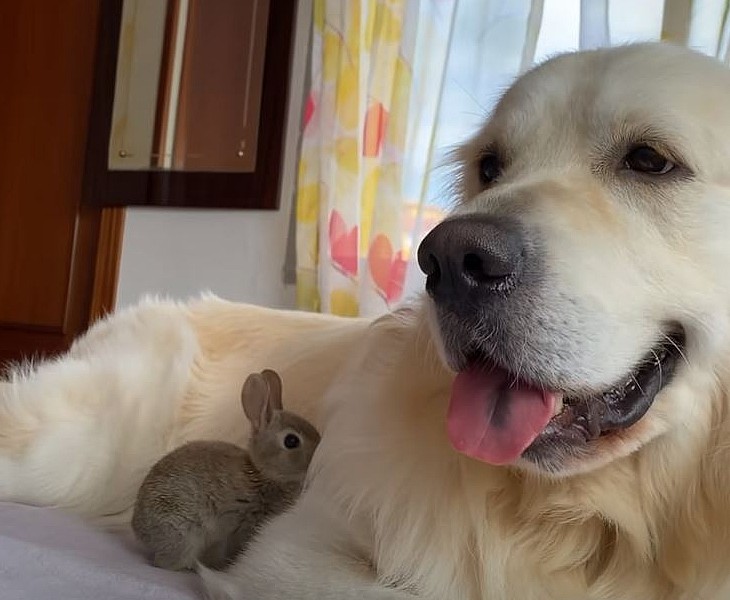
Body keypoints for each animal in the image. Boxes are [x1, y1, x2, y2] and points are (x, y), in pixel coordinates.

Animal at [131, 369, 321, 572]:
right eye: (291, 441)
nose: (318, 455)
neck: (263, 474)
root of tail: (138, 529)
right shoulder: (245, 522)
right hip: (183, 532)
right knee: (167, 562)